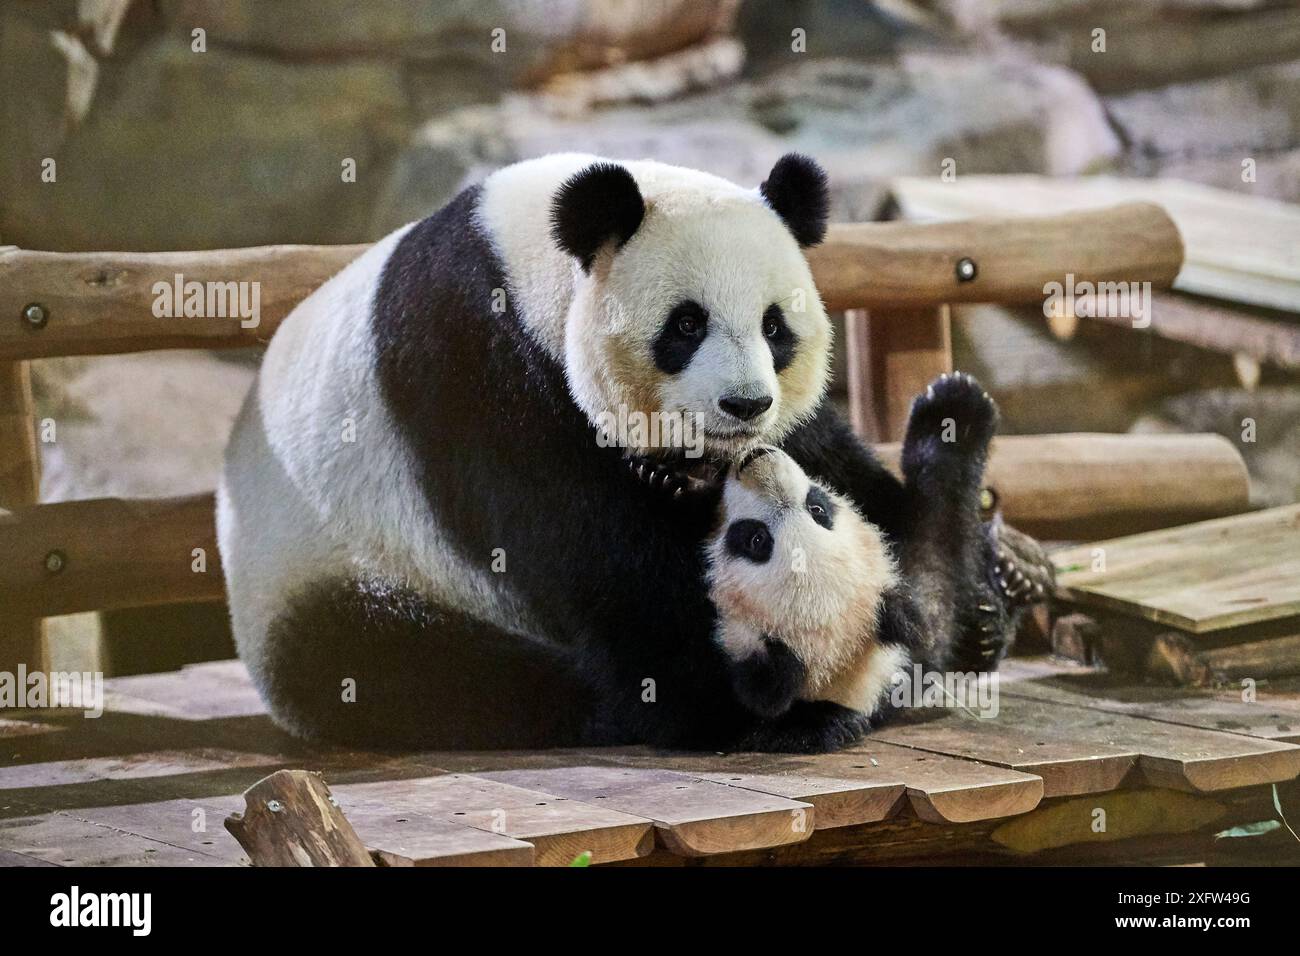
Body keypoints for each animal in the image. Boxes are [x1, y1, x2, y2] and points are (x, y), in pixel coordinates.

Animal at [216, 152, 1044, 754]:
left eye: (776, 327)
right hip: (334, 572)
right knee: (417, 670)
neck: (527, 261)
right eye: (686, 325)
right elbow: (598, 557)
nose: (745, 405)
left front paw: (967, 593)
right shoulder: (475, 370)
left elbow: (832, 464)